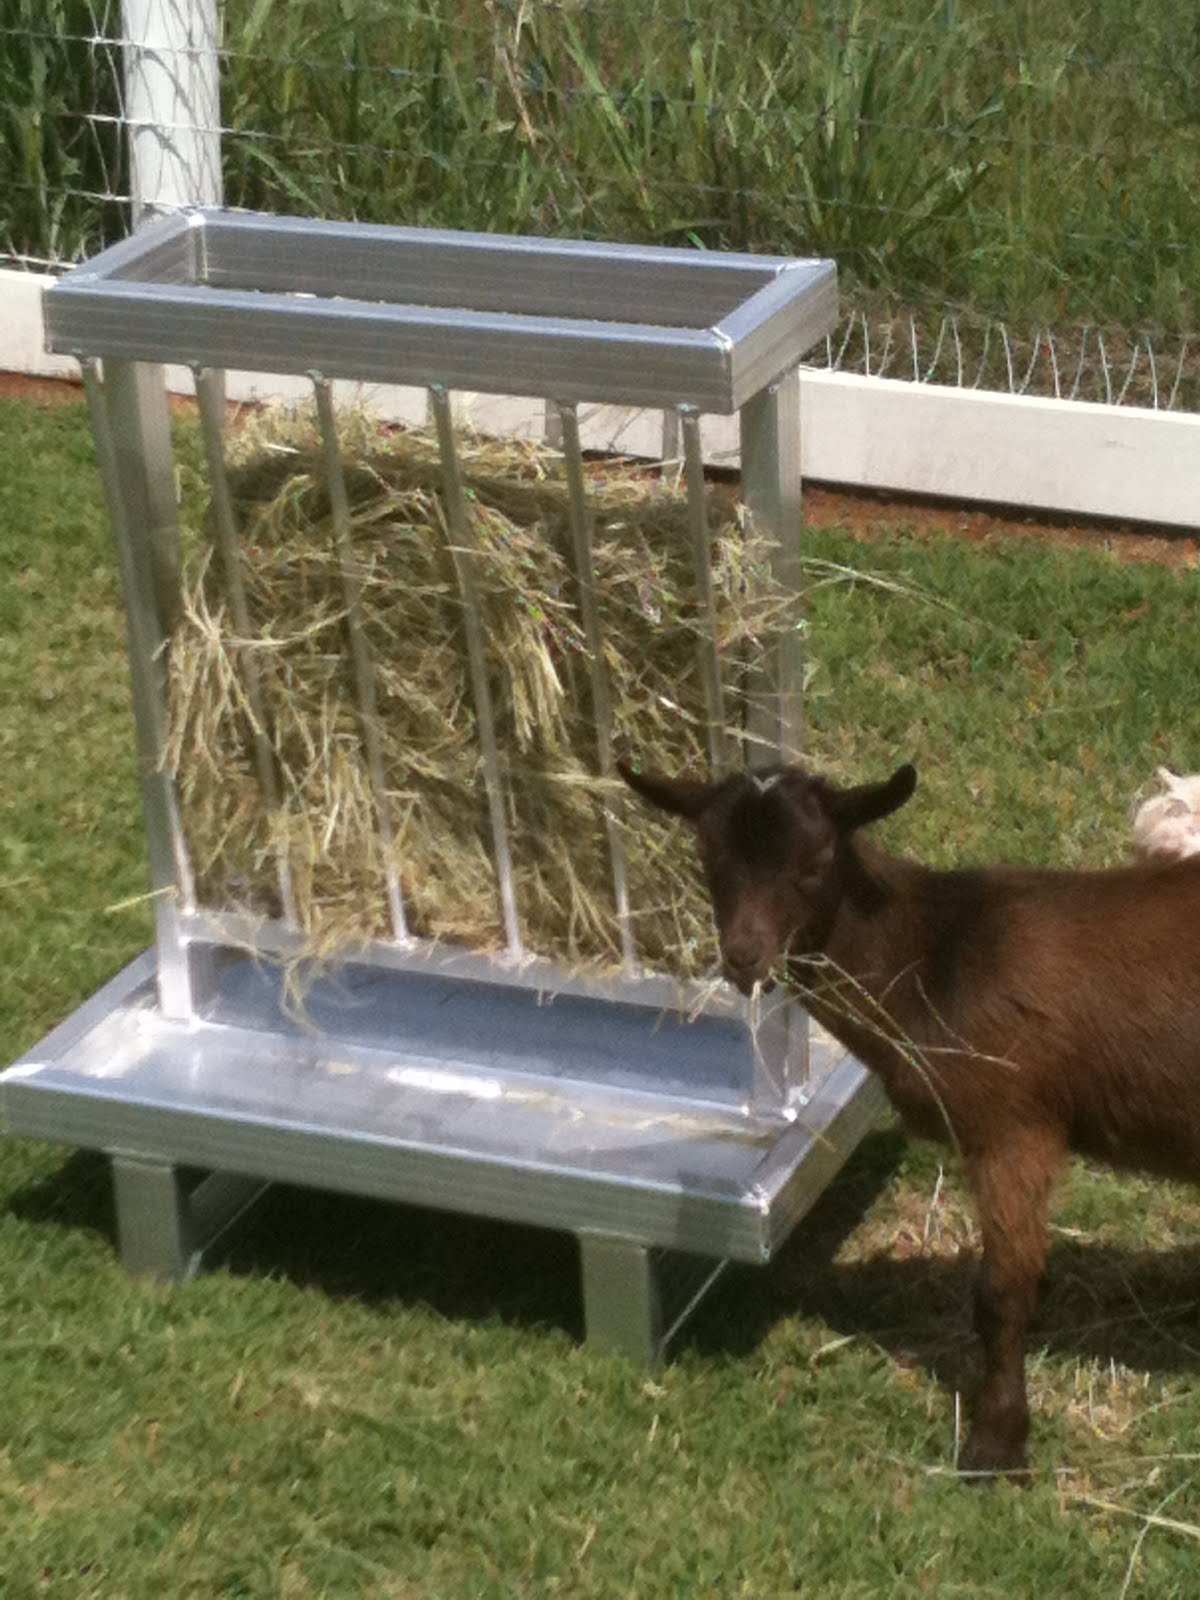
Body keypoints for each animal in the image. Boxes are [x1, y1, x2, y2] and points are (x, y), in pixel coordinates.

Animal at [620, 756, 1200, 1478]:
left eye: (816, 860)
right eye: (706, 855)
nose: (744, 957)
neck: (933, 953)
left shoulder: (1013, 1122)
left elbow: (1000, 1295)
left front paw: (995, 1443)